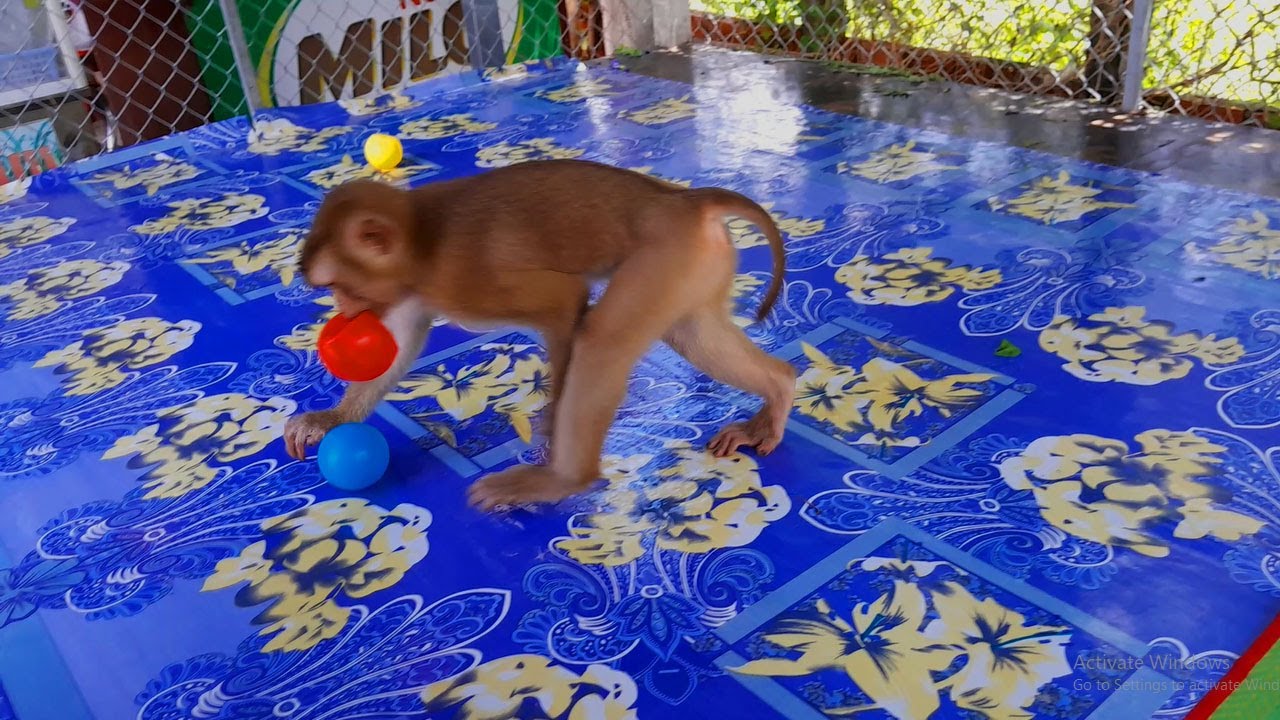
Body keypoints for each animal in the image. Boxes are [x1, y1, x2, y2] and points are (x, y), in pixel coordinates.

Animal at [285, 159, 795, 510]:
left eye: (339, 286)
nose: (343, 311)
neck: (422, 239)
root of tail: (685, 200)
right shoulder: (412, 290)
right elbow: (403, 345)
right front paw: (331, 419)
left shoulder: (461, 280)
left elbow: (566, 301)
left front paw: (551, 424)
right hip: (696, 264)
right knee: (692, 334)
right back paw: (780, 387)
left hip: (666, 257)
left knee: (602, 342)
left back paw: (562, 480)